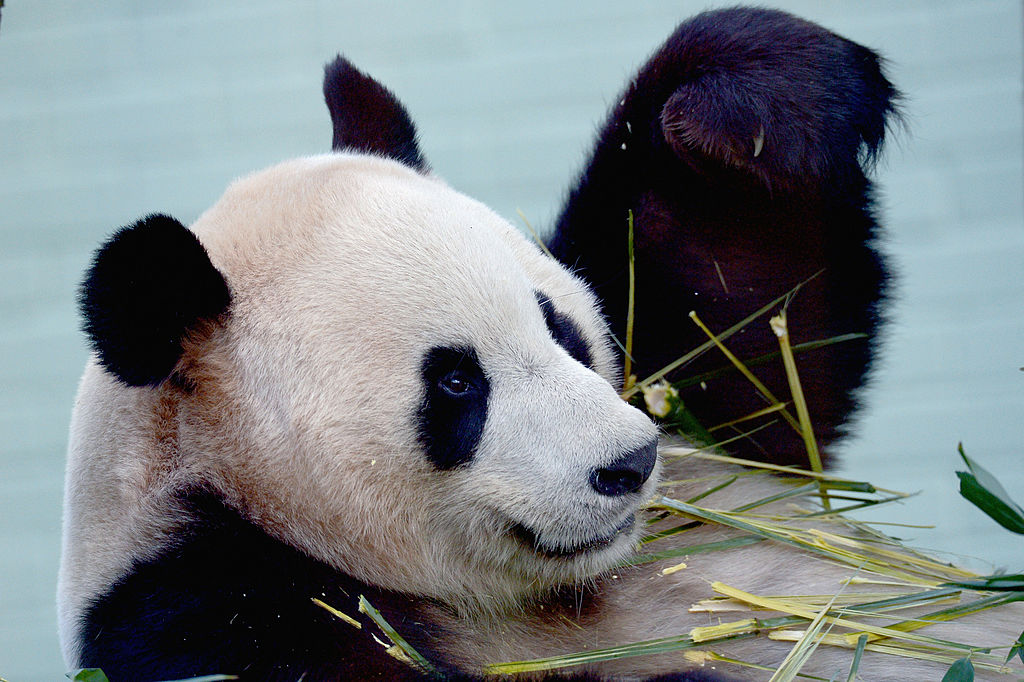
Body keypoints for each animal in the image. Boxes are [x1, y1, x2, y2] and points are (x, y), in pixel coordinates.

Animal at [58, 8, 1023, 682]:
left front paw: (741, 107)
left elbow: (743, 339)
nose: (629, 464)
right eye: (455, 384)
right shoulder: (205, 611)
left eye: (560, 327)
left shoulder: (688, 414)